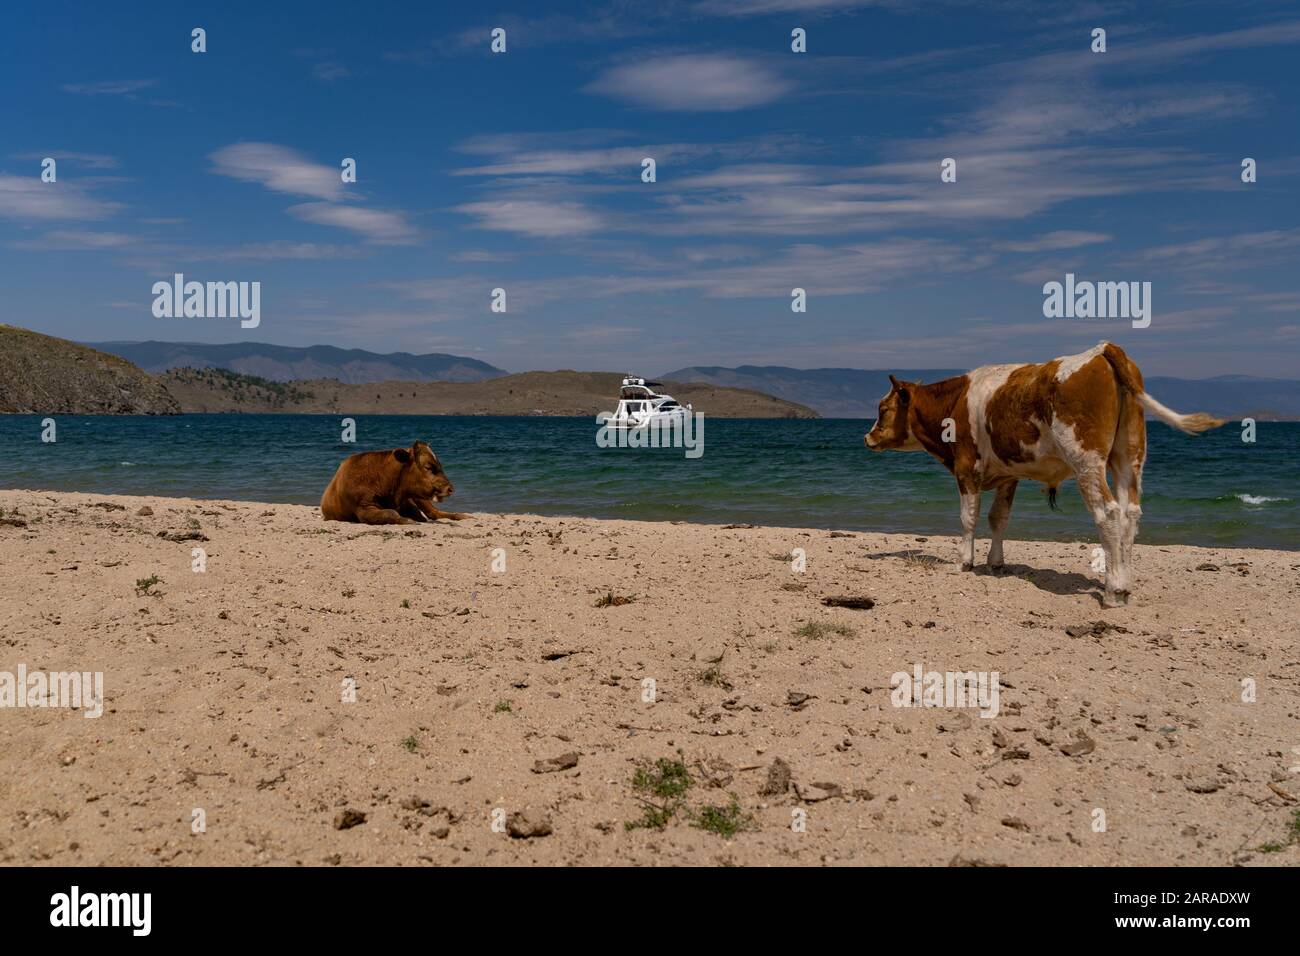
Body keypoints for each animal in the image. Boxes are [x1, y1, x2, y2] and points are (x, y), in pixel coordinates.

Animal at [321, 440, 469, 525]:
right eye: (428, 467)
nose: (450, 488)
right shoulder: (364, 509)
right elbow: (390, 513)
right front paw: (408, 521)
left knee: (434, 512)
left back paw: (463, 516)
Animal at [864, 342, 1224, 607]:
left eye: (883, 409)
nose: (867, 437)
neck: (954, 403)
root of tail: (1103, 349)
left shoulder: (966, 468)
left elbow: (969, 517)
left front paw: (964, 561)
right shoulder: (1008, 474)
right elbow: (998, 518)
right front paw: (996, 563)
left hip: (1087, 461)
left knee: (1108, 513)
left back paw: (1113, 591)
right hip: (1129, 457)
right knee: (1130, 513)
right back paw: (1125, 582)